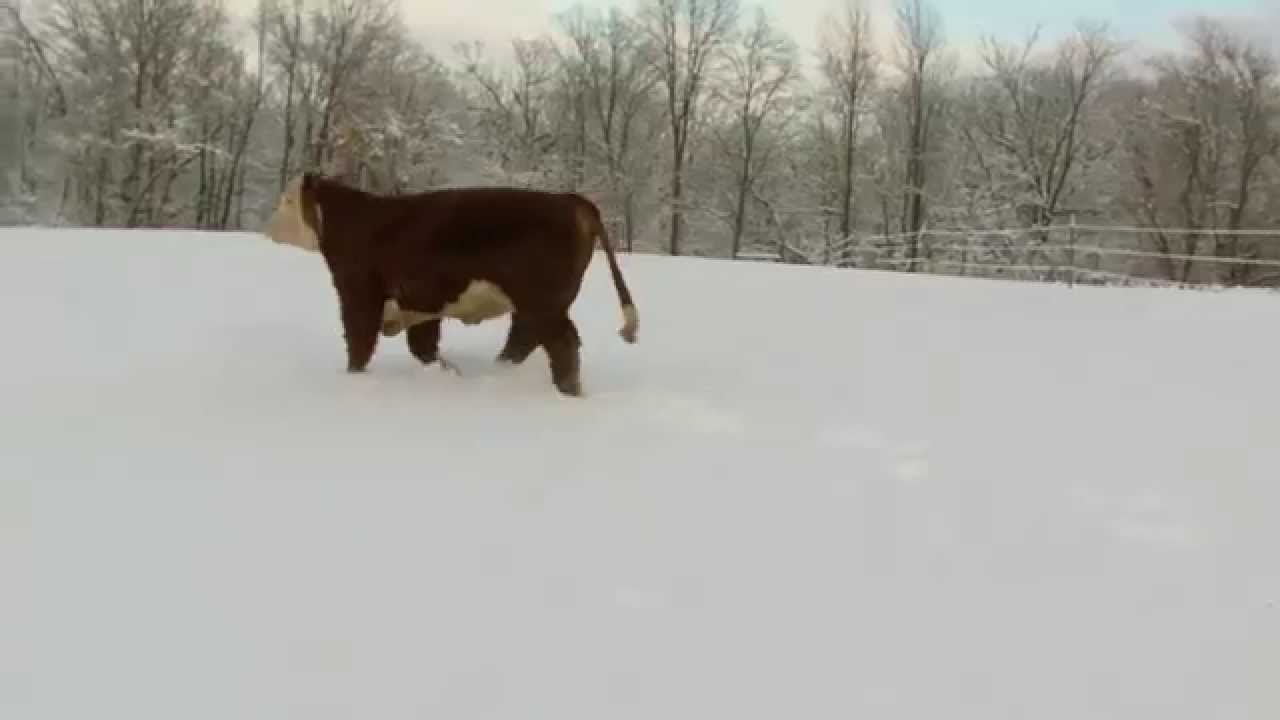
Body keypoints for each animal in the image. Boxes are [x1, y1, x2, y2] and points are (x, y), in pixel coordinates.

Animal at [262, 172, 638, 397]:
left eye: (287, 200)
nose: (268, 226)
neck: (355, 220)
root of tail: (569, 198)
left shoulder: (358, 291)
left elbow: (359, 341)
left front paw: (351, 378)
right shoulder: (420, 300)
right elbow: (422, 346)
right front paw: (448, 372)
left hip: (542, 300)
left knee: (562, 343)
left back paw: (567, 391)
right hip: (538, 303)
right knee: (525, 339)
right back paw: (501, 371)